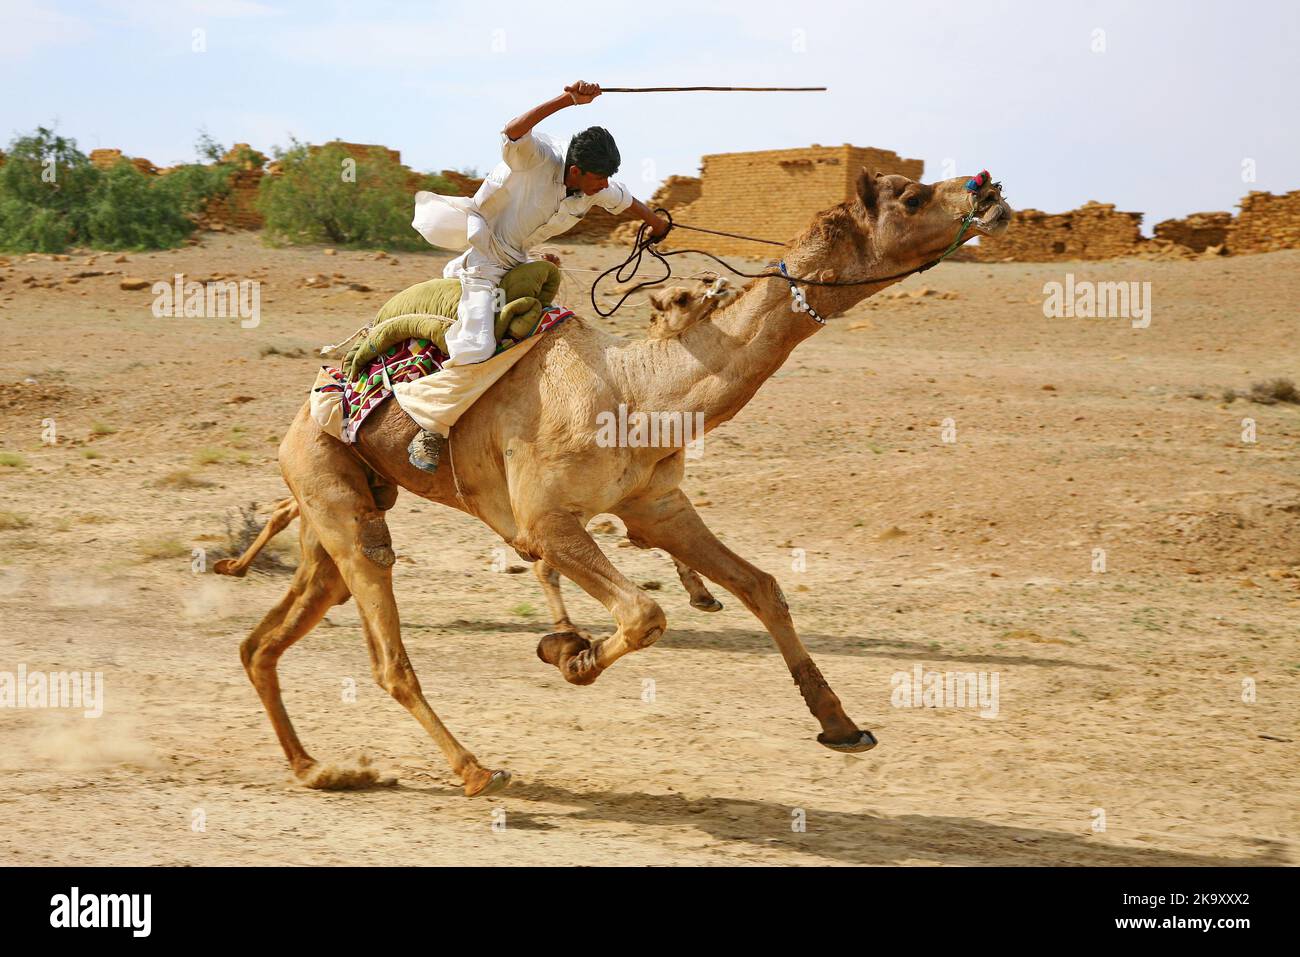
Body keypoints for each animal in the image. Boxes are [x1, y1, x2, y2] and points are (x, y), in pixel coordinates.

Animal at [236, 169, 1010, 797]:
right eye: (912, 197)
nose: (989, 189)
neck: (638, 392)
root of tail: (307, 407)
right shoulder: (545, 520)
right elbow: (643, 613)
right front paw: (567, 653)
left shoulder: (655, 503)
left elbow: (761, 586)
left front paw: (841, 723)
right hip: (331, 488)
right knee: (387, 654)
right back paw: (476, 771)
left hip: (339, 509)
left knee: (264, 640)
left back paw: (314, 767)